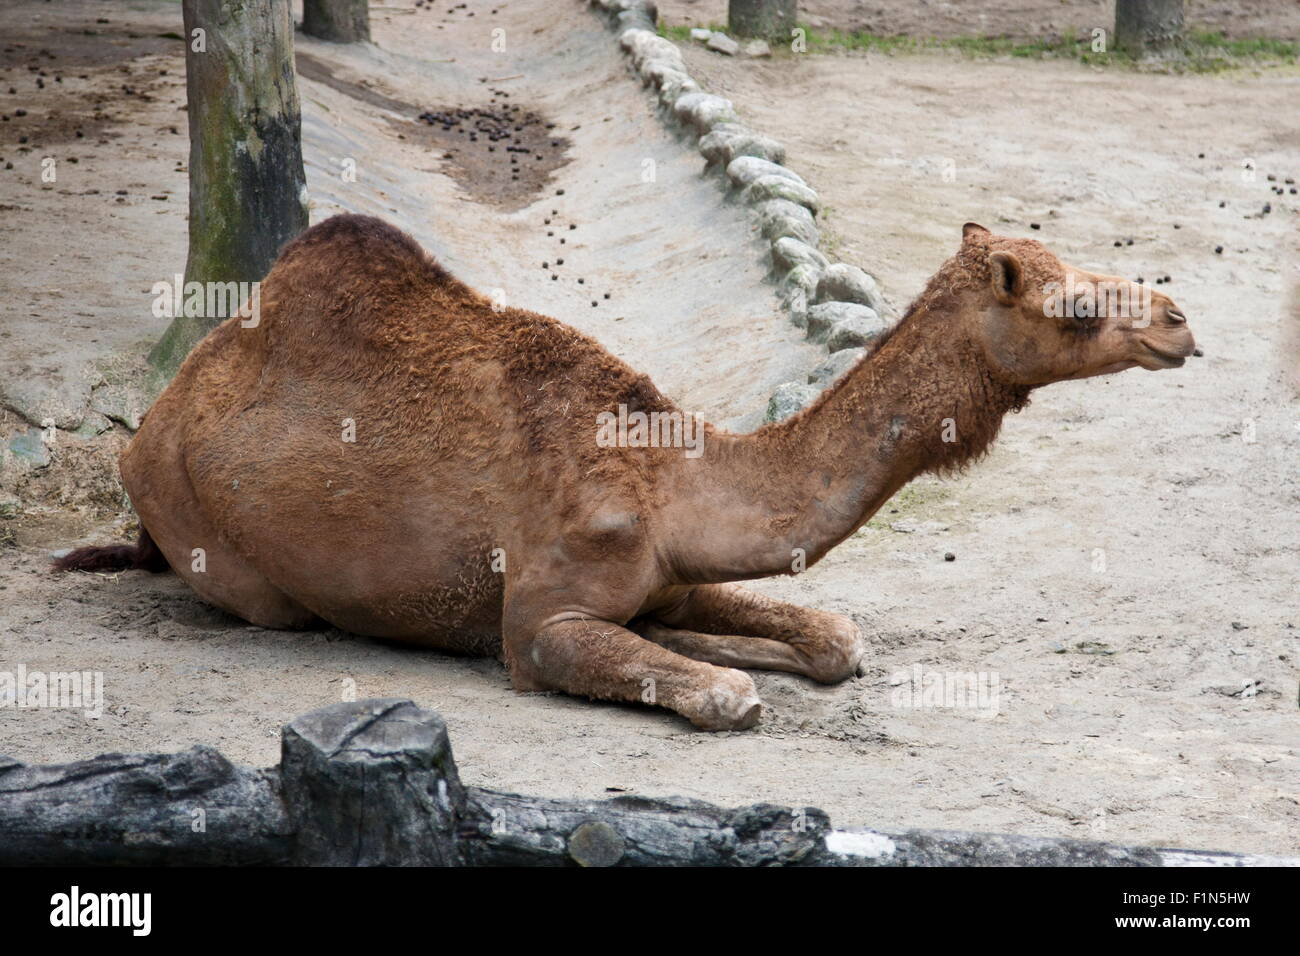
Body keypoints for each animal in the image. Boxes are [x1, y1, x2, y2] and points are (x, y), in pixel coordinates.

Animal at [55, 216, 1196, 730]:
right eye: (1075, 307)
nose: (1178, 320)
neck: (670, 479)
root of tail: (151, 421)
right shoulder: (541, 619)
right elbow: (727, 695)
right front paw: (719, 668)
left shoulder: (674, 566)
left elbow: (832, 637)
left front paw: (734, 641)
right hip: (221, 553)